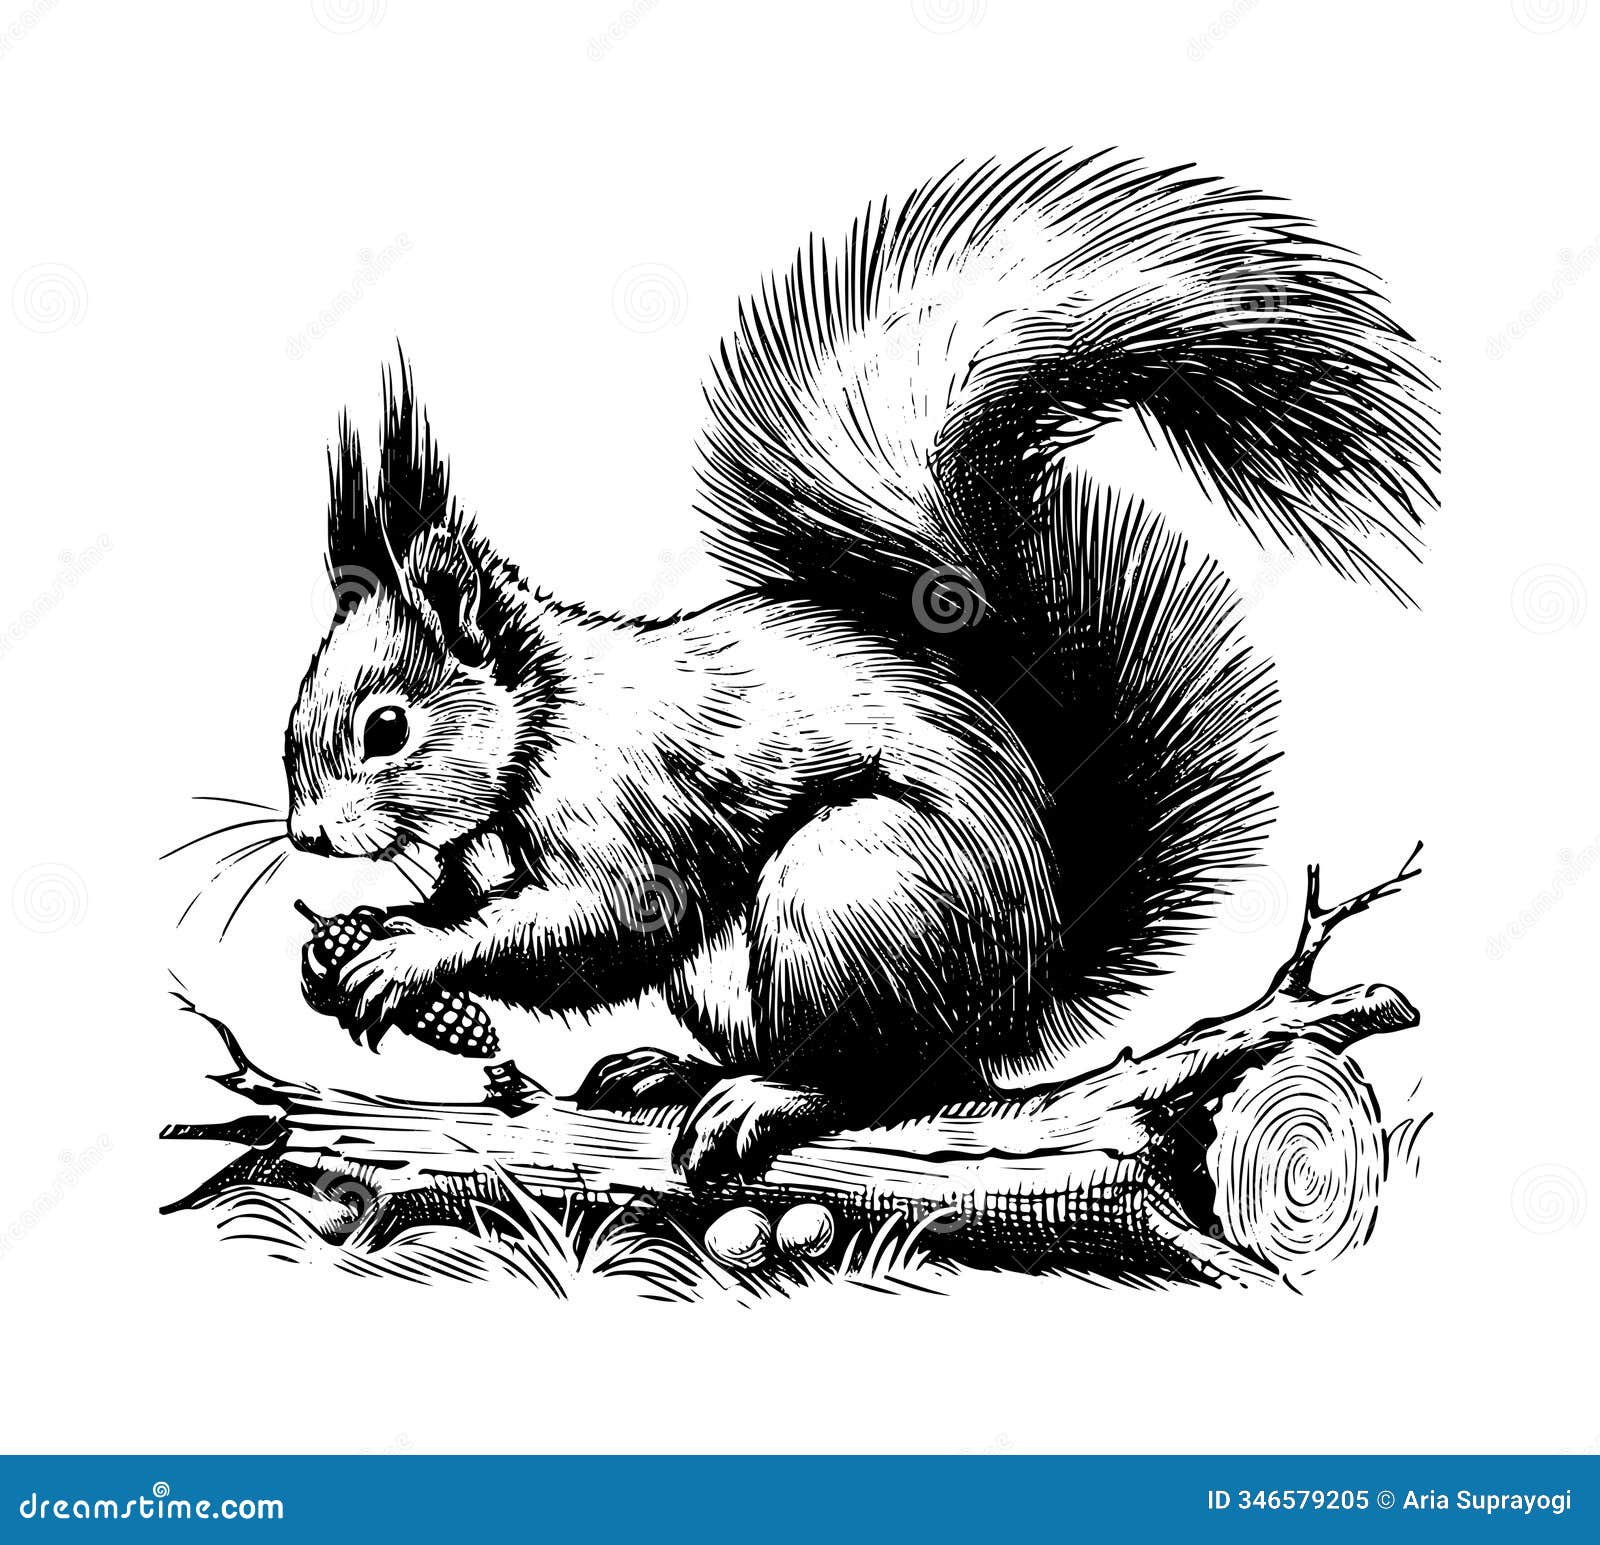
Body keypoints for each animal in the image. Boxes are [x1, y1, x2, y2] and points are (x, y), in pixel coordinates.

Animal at [283, 149, 1436, 1183]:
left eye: (386, 727)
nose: (304, 836)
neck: (545, 718)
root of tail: (1011, 998)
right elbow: (471, 903)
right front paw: (370, 936)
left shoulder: (624, 805)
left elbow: (601, 922)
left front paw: (403, 958)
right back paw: (667, 1072)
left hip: (846, 893)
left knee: (878, 1079)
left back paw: (768, 1097)